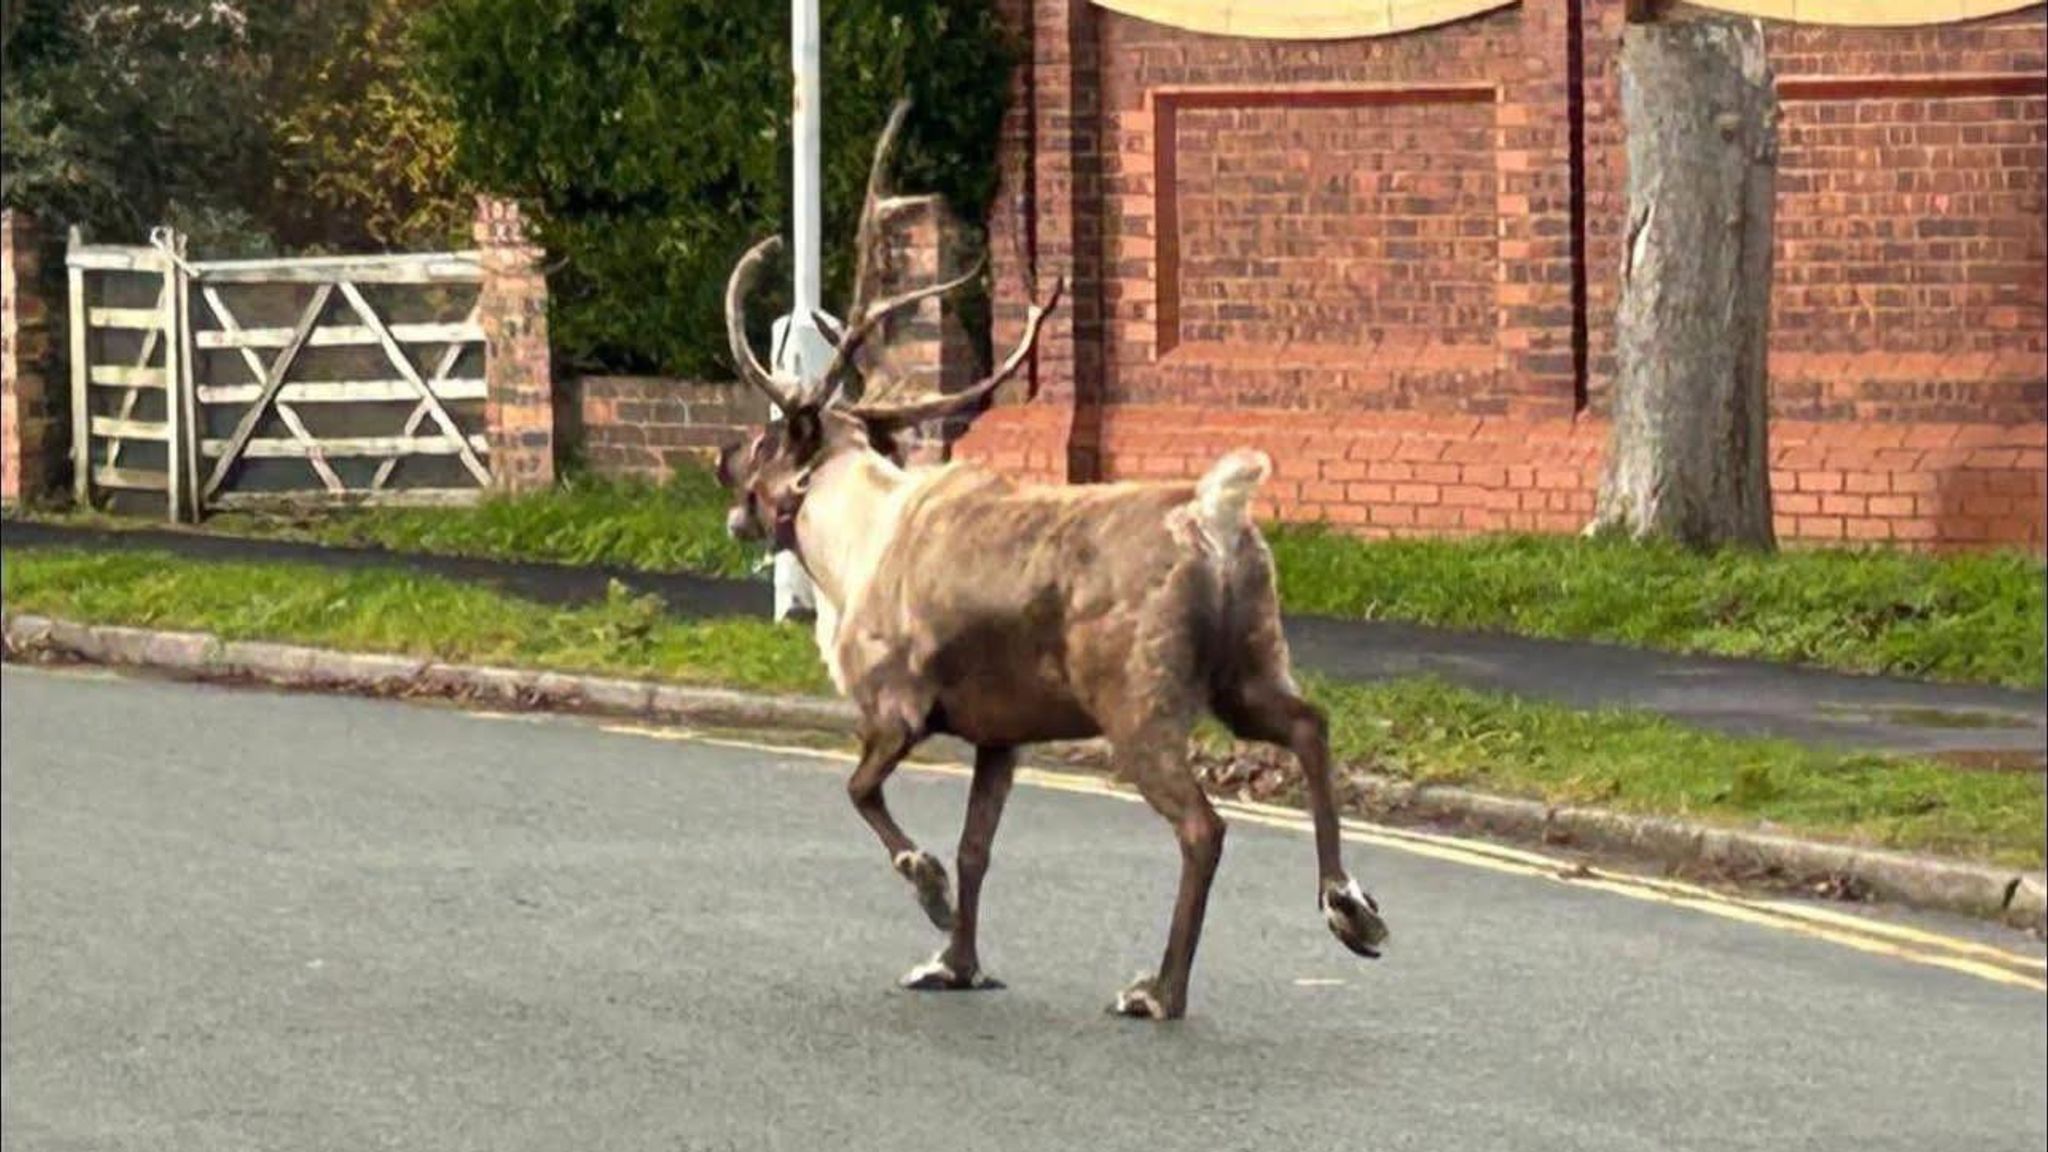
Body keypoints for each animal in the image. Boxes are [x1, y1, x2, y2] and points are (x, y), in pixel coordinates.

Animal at [713, 102, 1388, 1021]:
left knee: (1203, 826)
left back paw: (1160, 989)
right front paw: (955, 962)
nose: (721, 465)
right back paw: (1349, 907)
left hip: (1139, 702)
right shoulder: (1002, 733)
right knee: (1312, 727)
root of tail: (1215, 516)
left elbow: (862, 794)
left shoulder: (896, 707)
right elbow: (977, 848)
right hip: (1246, 666)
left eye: (770, 438)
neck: (846, 544)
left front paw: (927, 892)